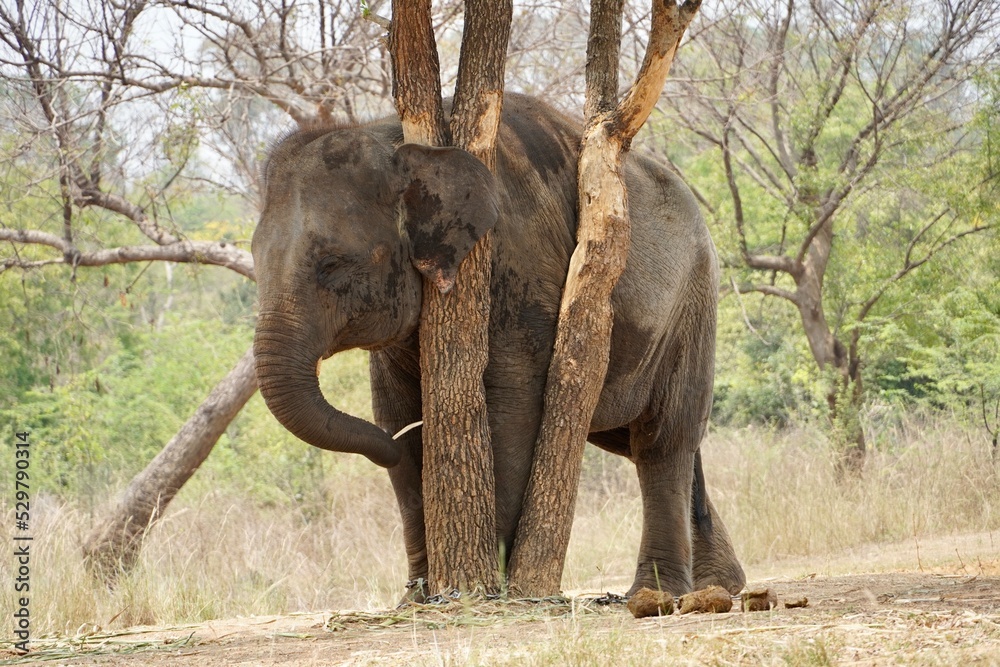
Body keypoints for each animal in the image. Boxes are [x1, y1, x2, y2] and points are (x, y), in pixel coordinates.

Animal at [251, 93, 746, 598]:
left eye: (331, 265)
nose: (384, 450)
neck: (398, 141)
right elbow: (393, 410)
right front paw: (418, 594)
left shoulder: (514, 265)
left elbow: (512, 409)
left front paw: (498, 582)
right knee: (643, 439)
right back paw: (721, 585)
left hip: (693, 302)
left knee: (661, 440)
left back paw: (657, 592)